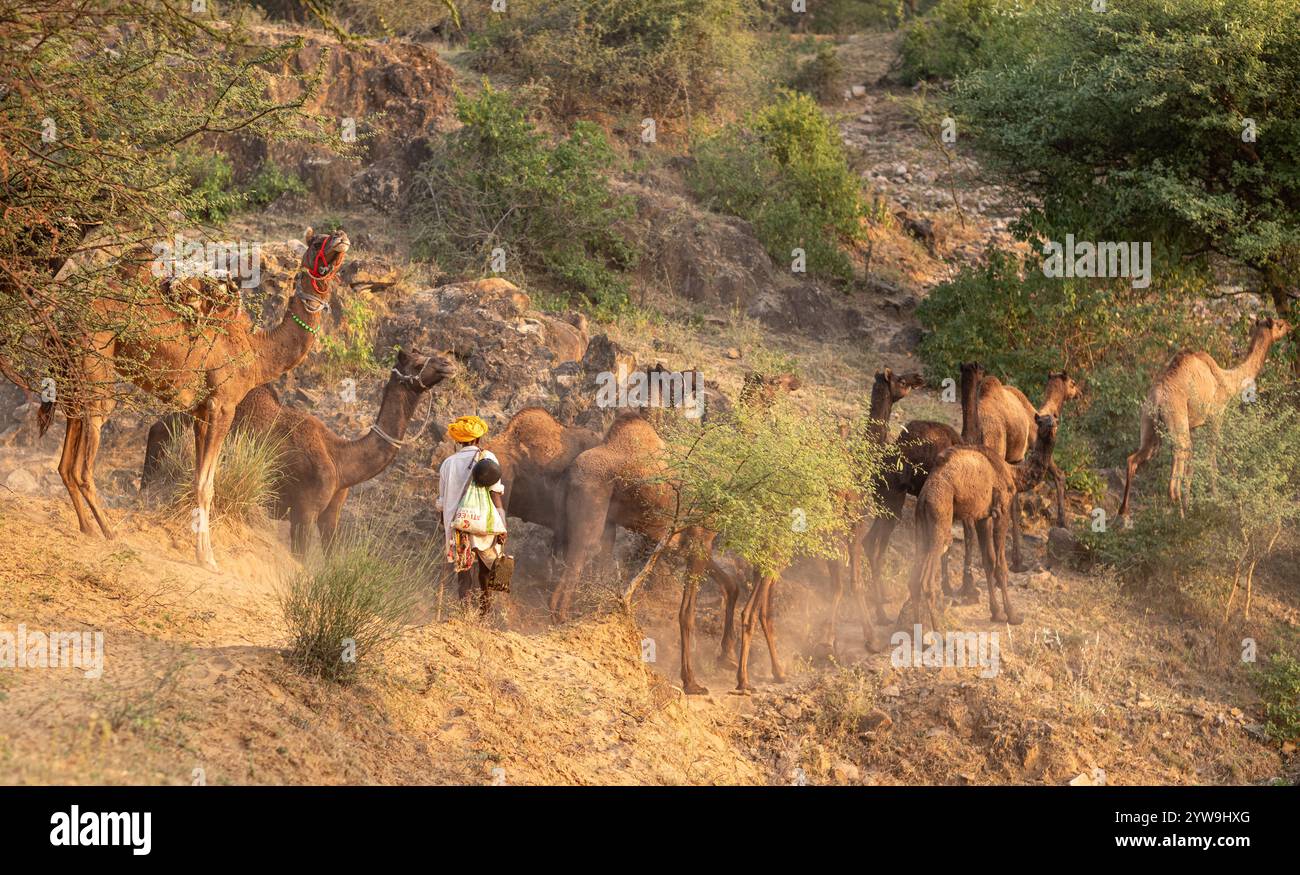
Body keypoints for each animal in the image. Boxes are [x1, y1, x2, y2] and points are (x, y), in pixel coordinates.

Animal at [39, 228, 350, 570]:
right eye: (317, 241)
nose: (341, 238)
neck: (256, 353)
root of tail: (64, 317)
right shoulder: (222, 406)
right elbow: (206, 486)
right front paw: (208, 558)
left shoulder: (201, 412)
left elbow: (196, 481)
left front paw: (200, 552)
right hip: (96, 367)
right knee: (85, 460)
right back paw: (109, 531)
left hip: (73, 373)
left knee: (66, 459)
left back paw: (87, 527)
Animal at [901, 362, 1060, 630]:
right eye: (1041, 421)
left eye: (1055, 421)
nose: (1049, 428)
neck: (1013, 472)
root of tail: (924, 498)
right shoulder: (1000, 509)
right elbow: (1000, 565)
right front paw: (1013, 615)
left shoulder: (982, 517)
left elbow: (988, 561)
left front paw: (996, 613)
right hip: (940, 521)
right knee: (926, 580)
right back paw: (936, 632)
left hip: (922, 526)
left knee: (913, 577)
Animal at [1118, 316, 1292, 519]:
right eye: (1279, 324)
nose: (1290, 326)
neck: (1228, 380)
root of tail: (1158, 398)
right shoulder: (1216, 415)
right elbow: (1212, 457)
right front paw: (1215, 498)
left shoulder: (1193, 425)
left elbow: (1192, 466)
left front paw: (1191, 502)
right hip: (1176, 419)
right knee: (1175, 471)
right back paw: (1180, 515)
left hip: (1149, 422)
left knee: (1135, 458)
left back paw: (1124, 512)